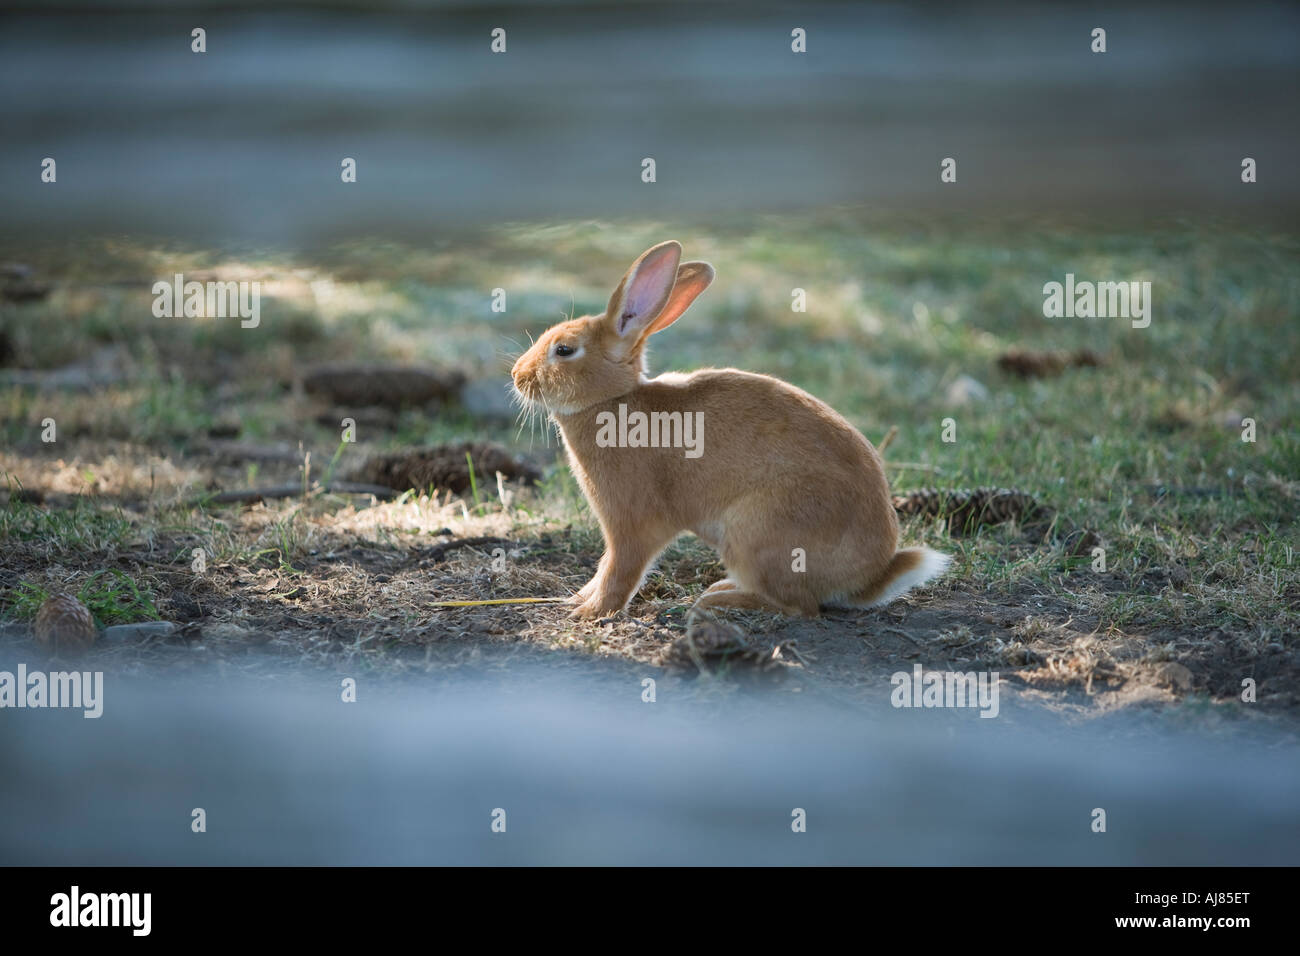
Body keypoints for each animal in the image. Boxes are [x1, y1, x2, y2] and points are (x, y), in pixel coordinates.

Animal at [511, 240, 950, 621]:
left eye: (564, 350)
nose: (517, 375)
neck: (612, 400)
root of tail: (870, 578)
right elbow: (605, 566)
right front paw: (578, 598)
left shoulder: (633, 524)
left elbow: (621, 567)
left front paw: (589, 612)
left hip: (755, 533)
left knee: (801, 607)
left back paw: (718, 600)